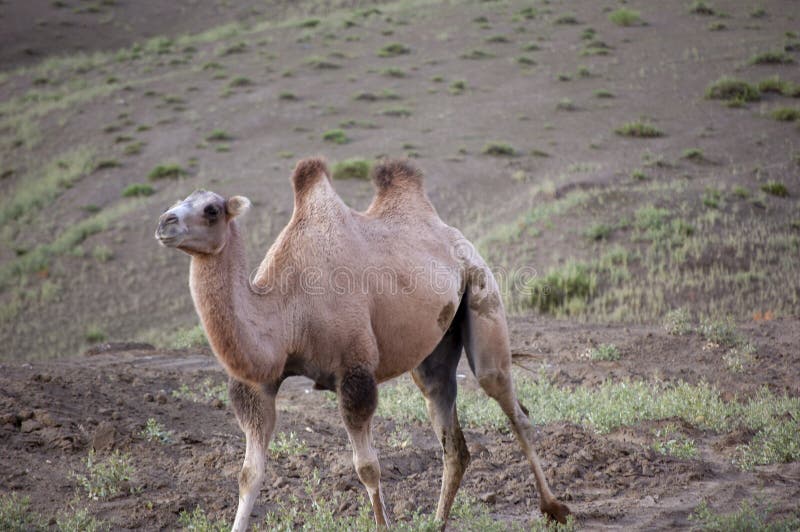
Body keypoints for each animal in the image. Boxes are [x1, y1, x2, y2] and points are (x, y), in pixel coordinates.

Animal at [154, 158, 570, 531]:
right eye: (179, 200)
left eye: (211, 209)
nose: (164, 222)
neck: (290, 310)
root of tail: (455, 236)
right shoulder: (259, 383)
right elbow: (249, 473)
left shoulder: (355, 371)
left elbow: (367, 467)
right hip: (434, 351)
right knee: (450, 430)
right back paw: (438, 521)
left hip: (483, 289)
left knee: (507, 399)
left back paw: (555, 508)